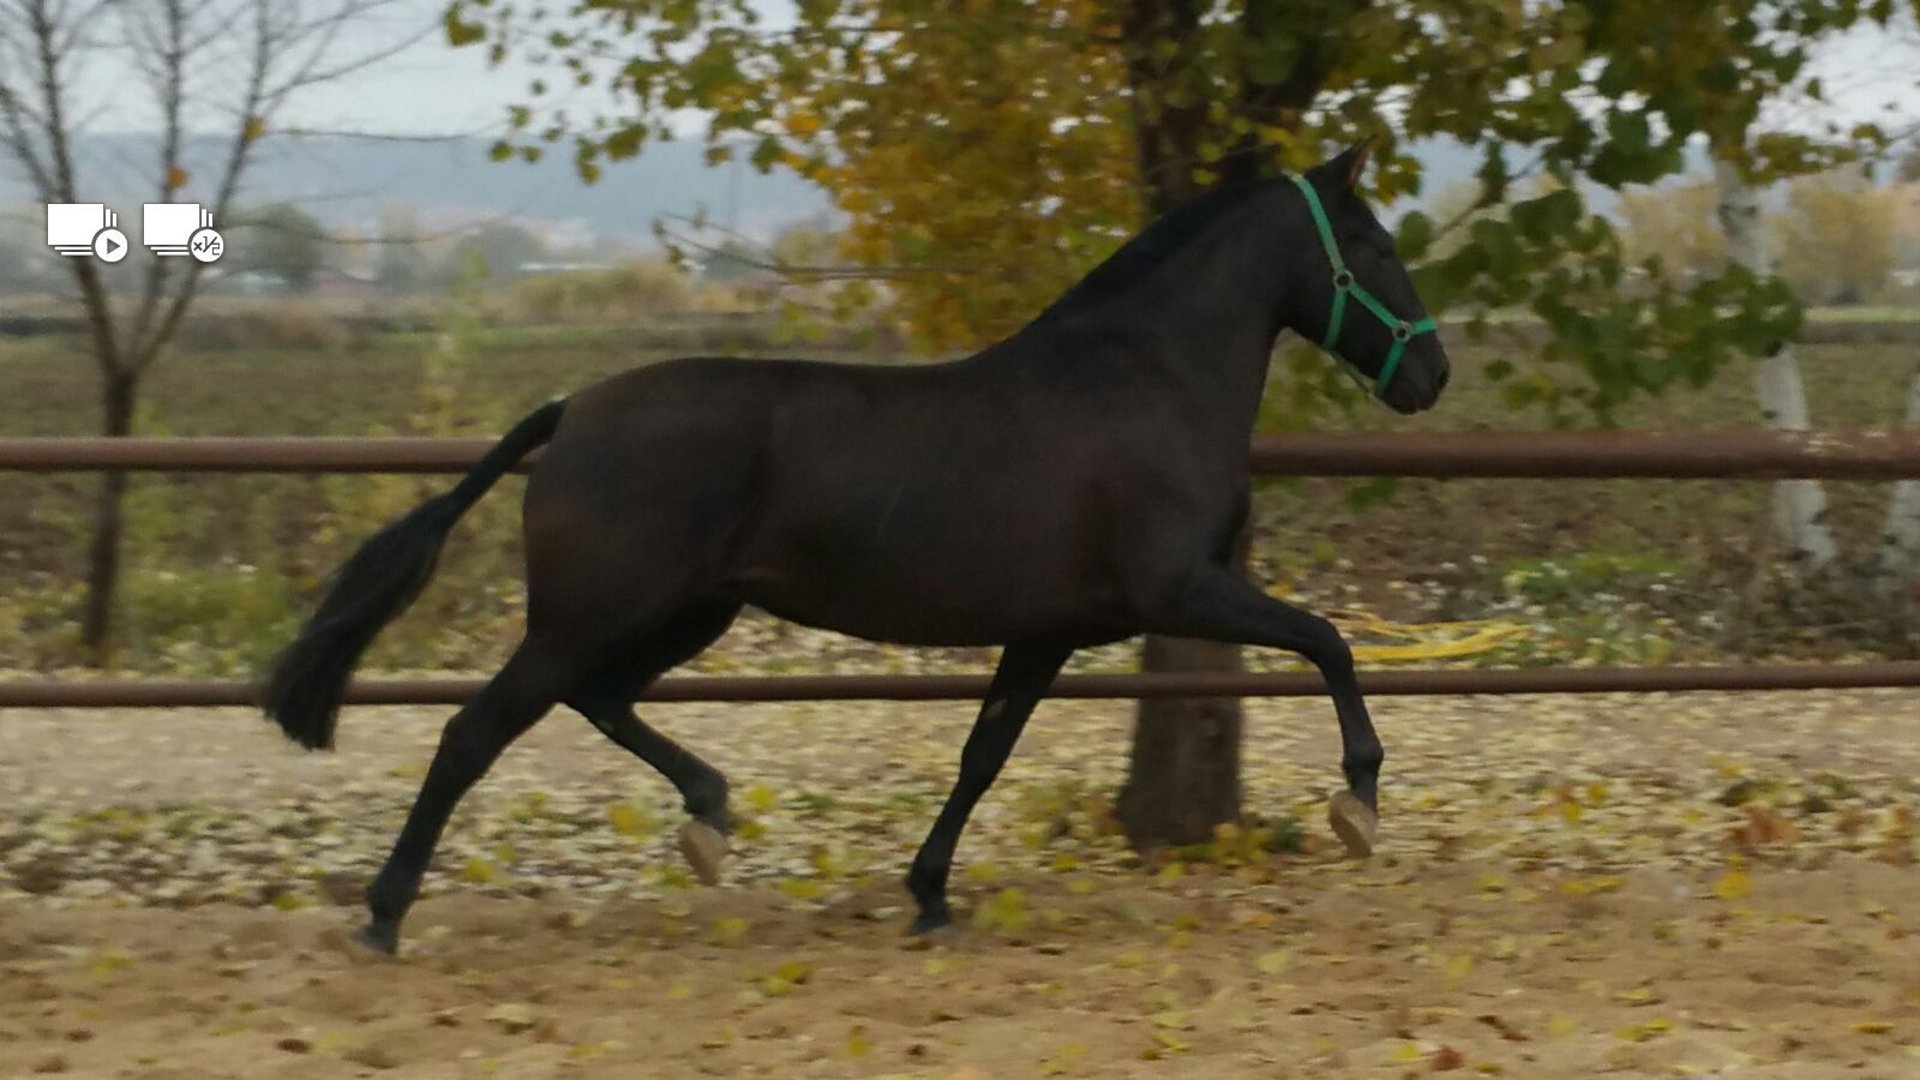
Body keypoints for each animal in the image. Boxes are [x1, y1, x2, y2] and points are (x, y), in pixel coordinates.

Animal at [262, 137, 1450, 955]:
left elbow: (983, 754)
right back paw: (383, 916)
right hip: (591, 614)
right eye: (1378, 246)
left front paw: (928, 893)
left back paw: (708, 817)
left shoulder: (1049, 632)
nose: (1432, 376)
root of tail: (573, 410)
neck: (1143, 382)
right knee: (475, 732)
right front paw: (1359, 801)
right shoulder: (1180, 590)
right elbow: (1329, 641)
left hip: (686, 612)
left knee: (602, 699)